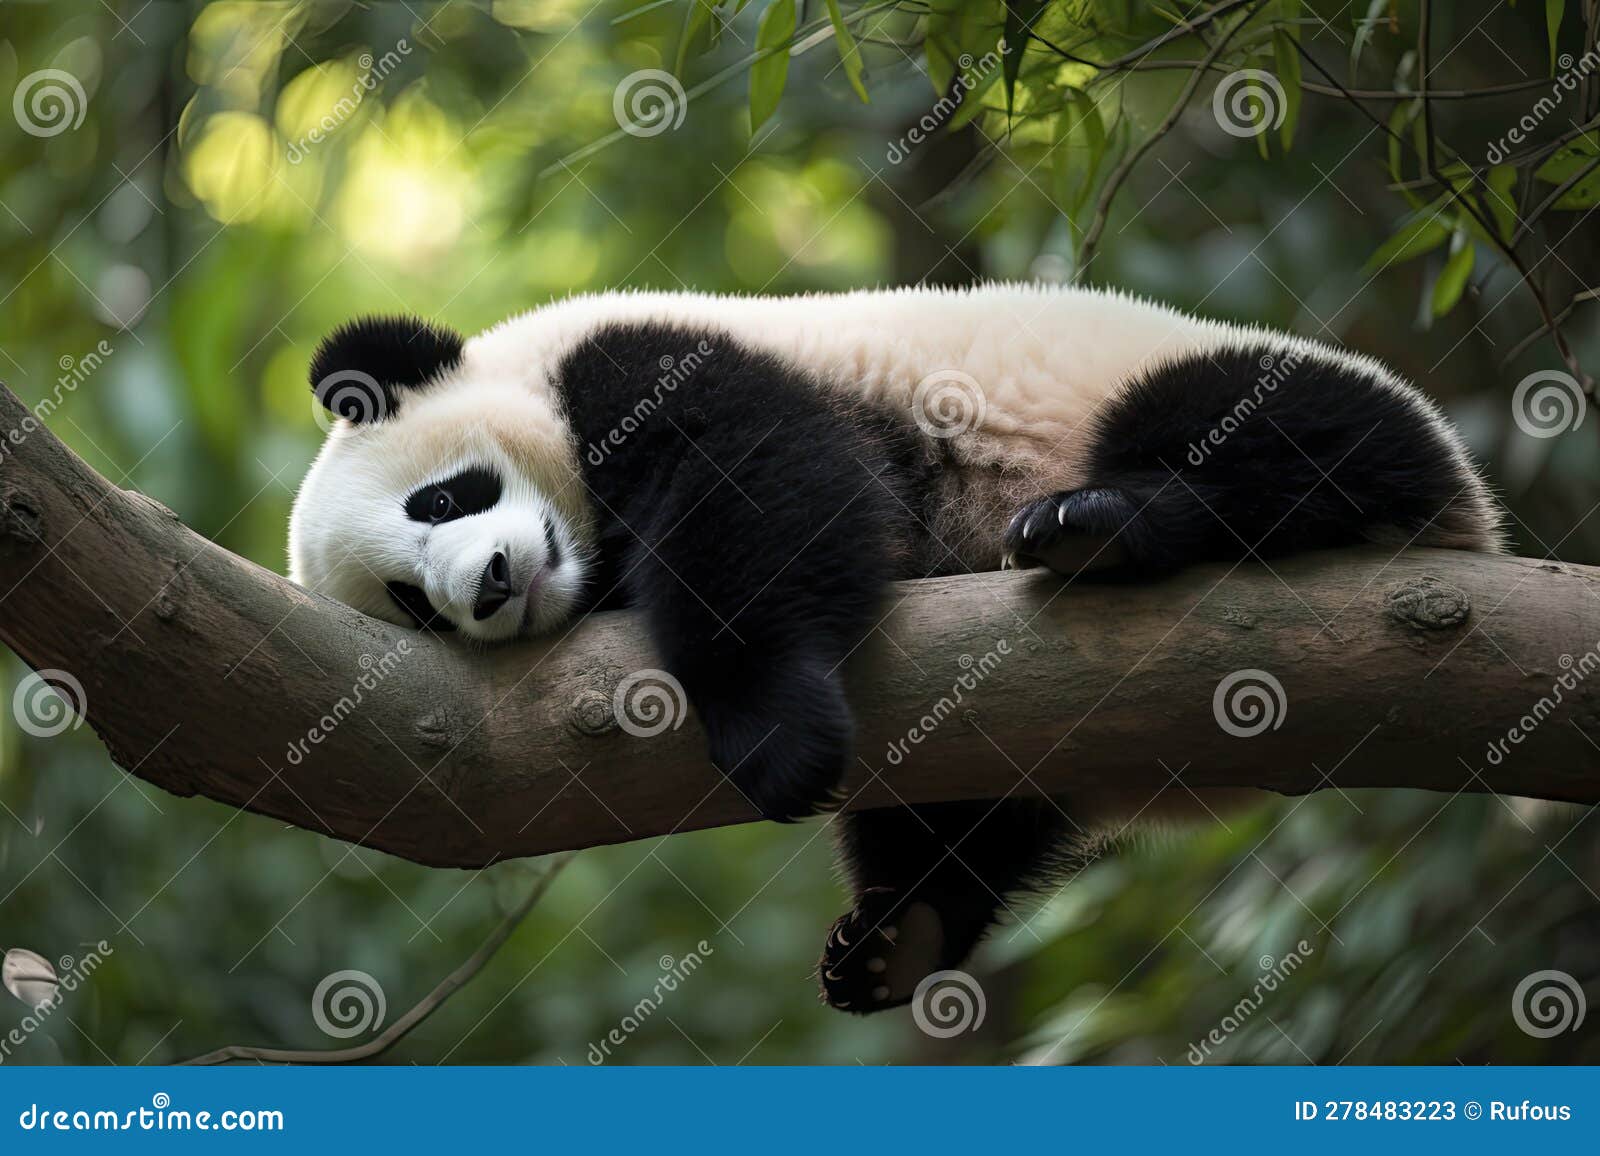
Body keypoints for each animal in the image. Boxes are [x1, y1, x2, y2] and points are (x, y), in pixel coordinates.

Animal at [288, 284, 1503, 1014]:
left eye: (445, 497)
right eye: (412, 605)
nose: (488, 587)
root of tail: (1474, 528)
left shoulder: (648, 360)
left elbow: (759, 473)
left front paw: (771, 730)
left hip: (1192, 385)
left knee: (1275, 429)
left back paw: (1106, 527)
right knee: (972, 810)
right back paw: (897, 933)